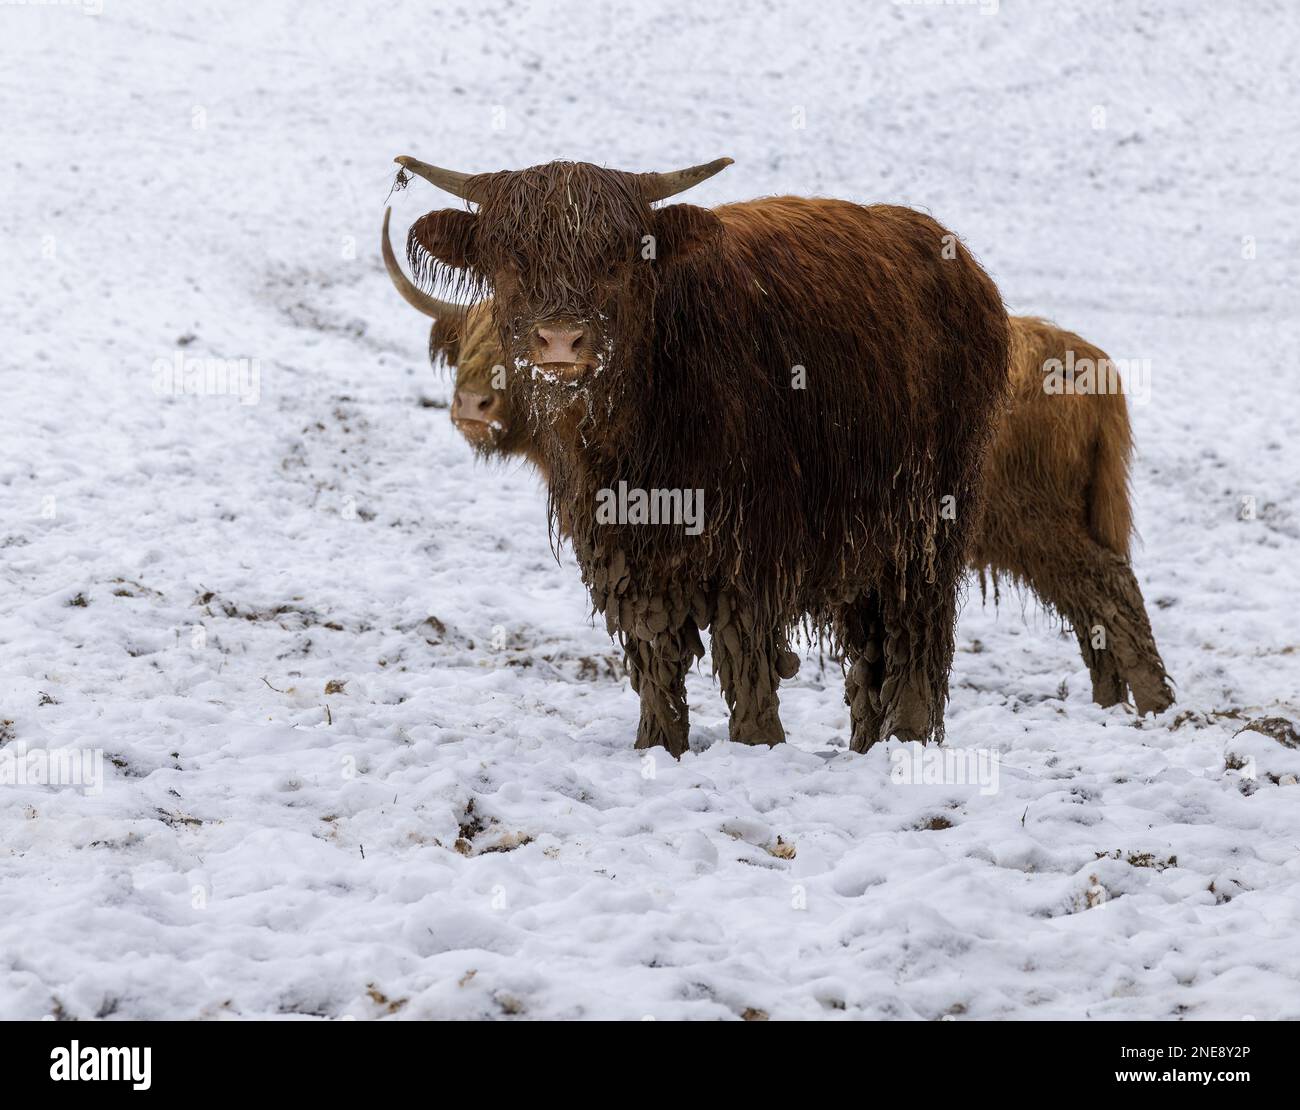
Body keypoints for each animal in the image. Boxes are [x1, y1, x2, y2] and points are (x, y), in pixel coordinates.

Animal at [383, 225, 1173, 716]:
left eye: (513, 349)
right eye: (468, 343)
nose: (472, 406)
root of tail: (1090, 360)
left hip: (1028, 523)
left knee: (1108, 587)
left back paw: (1155, 704)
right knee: (1090, 606)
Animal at [390, 157, 1011, 755]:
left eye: (617, 259)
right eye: (512, 258)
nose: (561, 340)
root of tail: (964, 265)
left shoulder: (753, 544)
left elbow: (747, 654)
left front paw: (758, 742)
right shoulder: (625, 550)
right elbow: (653, 654)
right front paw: (658, 743)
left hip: (928, 523)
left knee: (915, 634)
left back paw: (905, 741)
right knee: (870, 655)